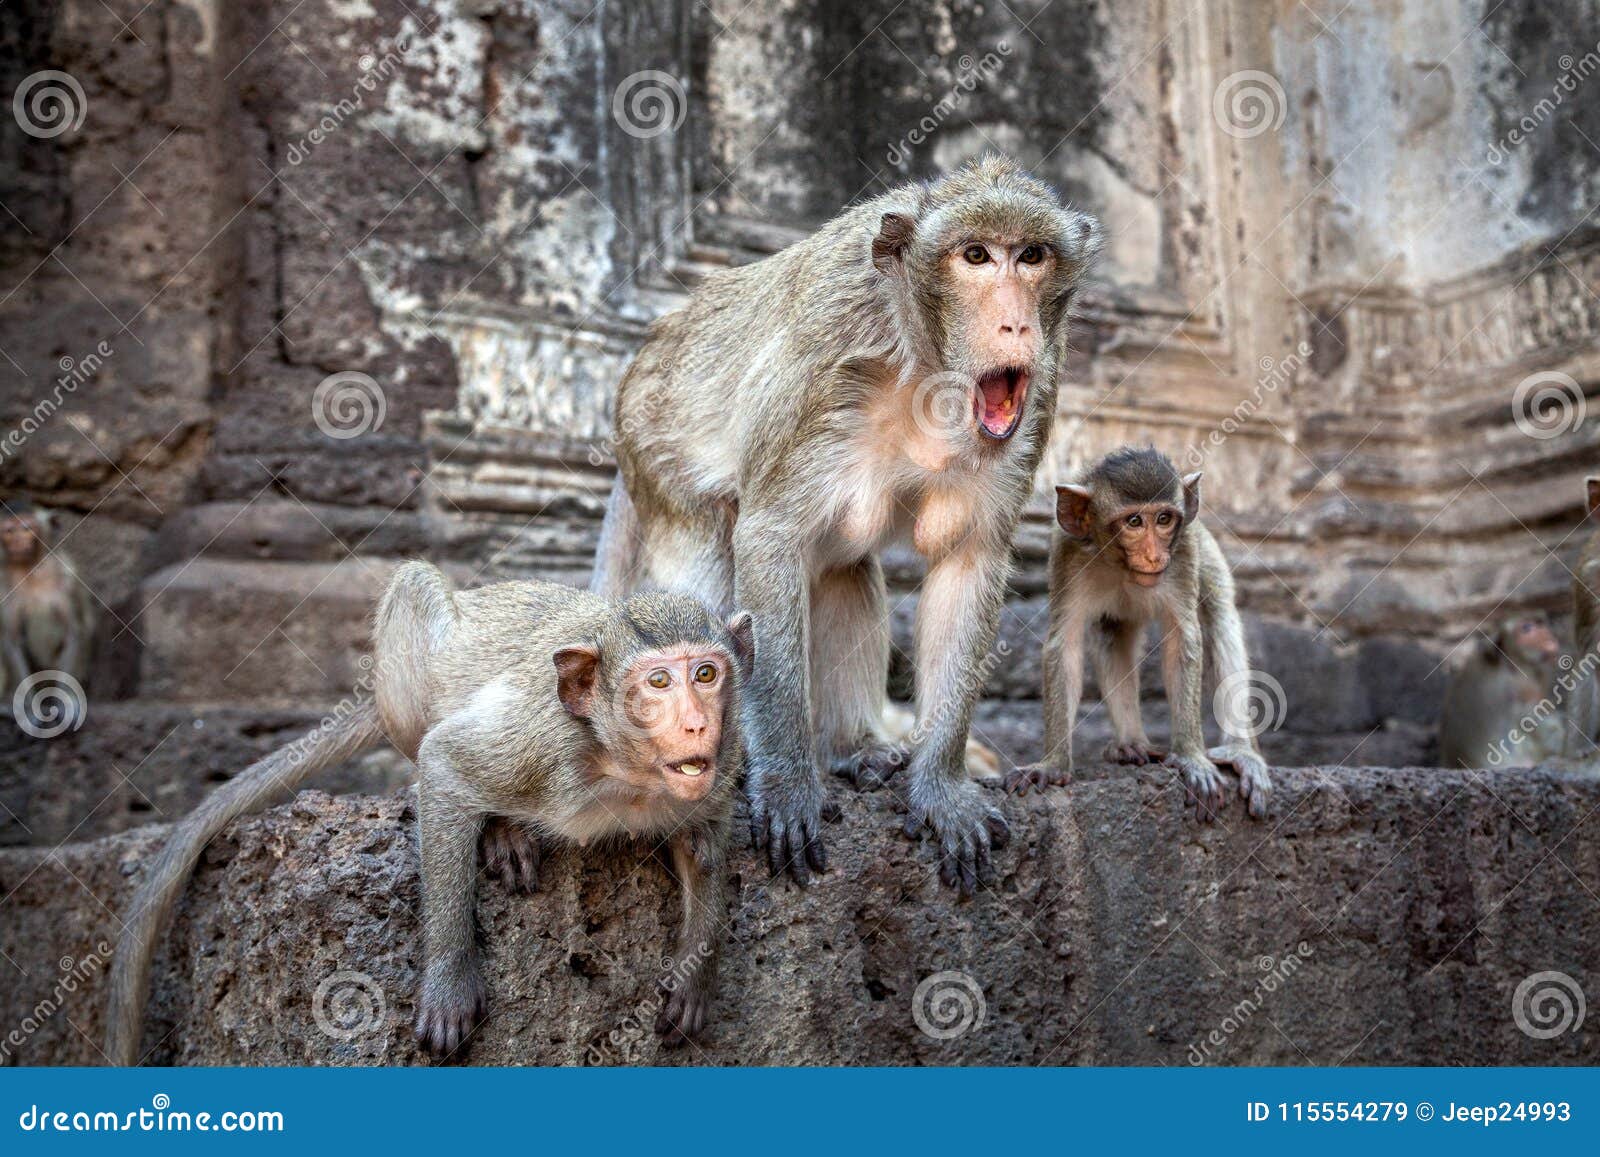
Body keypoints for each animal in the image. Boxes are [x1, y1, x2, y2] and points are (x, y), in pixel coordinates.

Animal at [0, 500, 94, 727]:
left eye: (26, 528)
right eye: (9, 531)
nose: (18, 542)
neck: (30, 567)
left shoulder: (68, 578)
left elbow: (73, 633)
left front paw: (67, 702)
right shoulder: (2, 585)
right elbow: (11, 640)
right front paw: (26, 709)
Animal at [105, 563, 751, 1064]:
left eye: (706, 674)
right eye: (658, 682)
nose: (696, 725)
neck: (623, 769)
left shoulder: (727, 758)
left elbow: (706, 843)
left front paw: (696, 972)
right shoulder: (544, 750)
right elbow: (443, 762)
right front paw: (448, 977)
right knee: (416, 597)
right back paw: (499, 829)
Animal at [591, 156, 1102, 893]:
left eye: (1031, 256)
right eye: (976, 255)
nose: (1016, 327)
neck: (927, 364)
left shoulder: (1037, 397)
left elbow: (966, 558)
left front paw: (940, 785)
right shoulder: (822, 369)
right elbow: (768, 536)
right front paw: (784, 784)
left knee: (843, 570)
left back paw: (846, 750)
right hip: (657, 455)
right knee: (710, 556)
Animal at [1007, 447, 1271, 822]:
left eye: (1163, 519)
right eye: (1134, 522)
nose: (1154, 555)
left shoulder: (1184, 551)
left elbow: (1183, 641)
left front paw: (1191, 756)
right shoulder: (1067, 554)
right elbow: (1065, 647)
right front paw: (1053, 765)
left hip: (1204, 547)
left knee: (1220, 616)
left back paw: (1240, 751)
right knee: (1111, 634)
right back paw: (1132, 745)